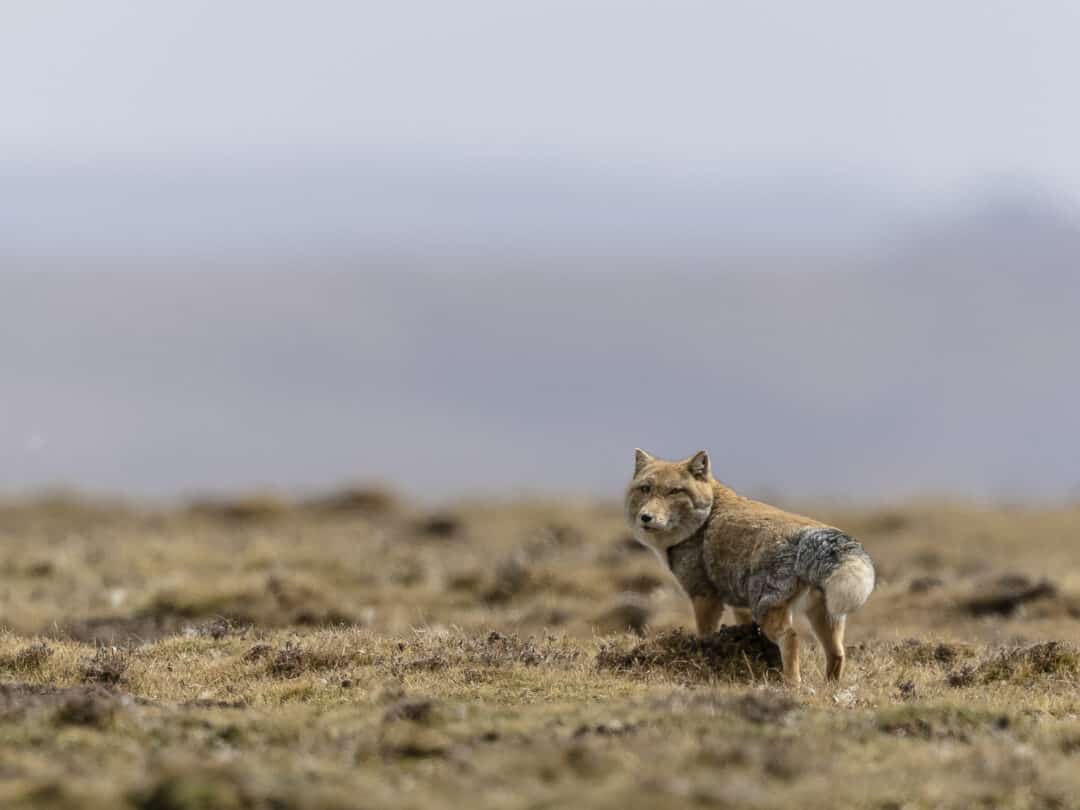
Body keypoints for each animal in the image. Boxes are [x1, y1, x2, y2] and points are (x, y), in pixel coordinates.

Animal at [625, 448, 875, 685]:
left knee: (792, 638)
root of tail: (810, 533)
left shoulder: (704, 597)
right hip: (824, 617)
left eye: (674, 491)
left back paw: (791, 684)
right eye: (645, 488)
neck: (704, 518)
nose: (646, 517)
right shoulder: (740, 606)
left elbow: (705, 636)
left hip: (768, 612)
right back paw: (830, 687)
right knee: (838, 653)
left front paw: (704, 657)